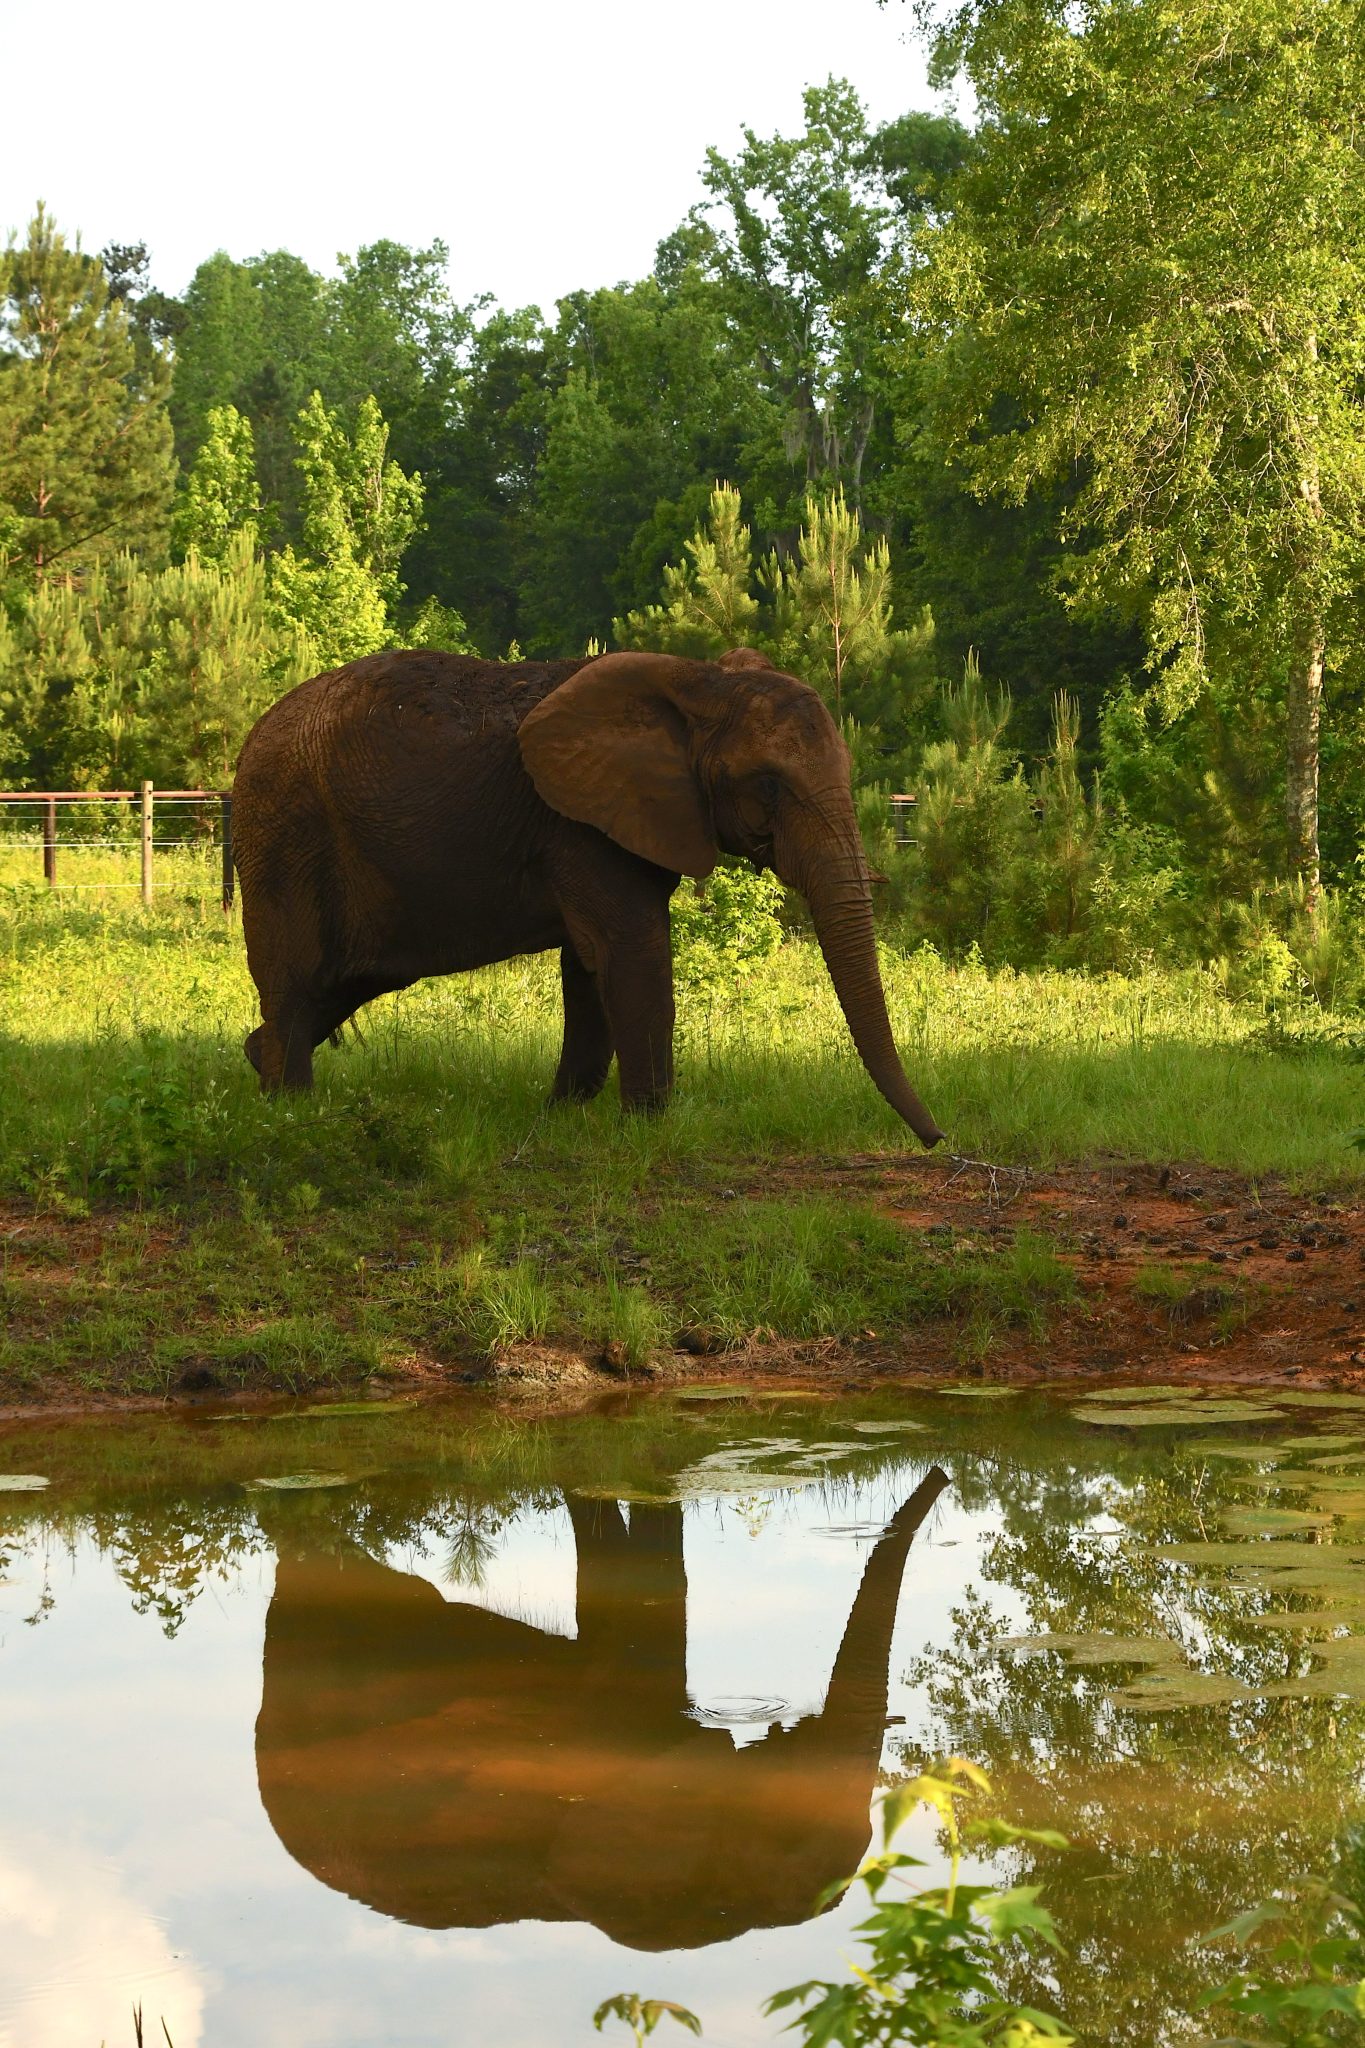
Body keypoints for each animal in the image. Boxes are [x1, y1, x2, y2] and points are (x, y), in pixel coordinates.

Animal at [231, 646, 945, 1144]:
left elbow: (590, 966)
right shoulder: (580, 825)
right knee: (298, 982)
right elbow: (630, 952)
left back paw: (258, 1063)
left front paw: (561, 1119)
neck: (699, 684)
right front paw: (648, 1129)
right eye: (768, 784)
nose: (937, 1140)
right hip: (283, 833)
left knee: (338, 984)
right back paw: (288, 1113)